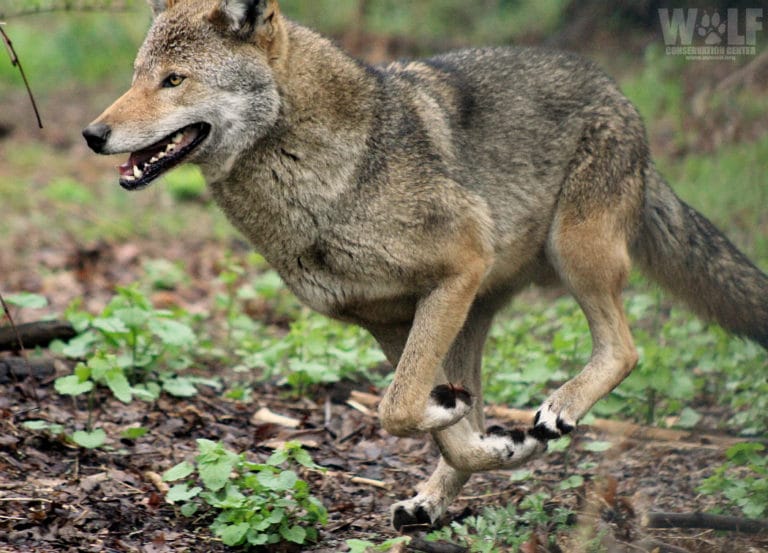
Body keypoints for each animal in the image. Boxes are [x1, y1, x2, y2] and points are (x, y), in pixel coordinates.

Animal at [83, 0, 768, 530]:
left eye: (175, 80)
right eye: (137, 76)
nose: (93, 135)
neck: (320, 180)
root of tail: (618, 94)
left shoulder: (458, 267)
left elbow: (397, 408)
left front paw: (481, 430)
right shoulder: (387, 320)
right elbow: (425, 417)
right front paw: (491, 443)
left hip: (573, 257)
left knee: (624, 349)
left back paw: (557, 410)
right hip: (475, 317)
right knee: (484, 405)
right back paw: (451, 485)